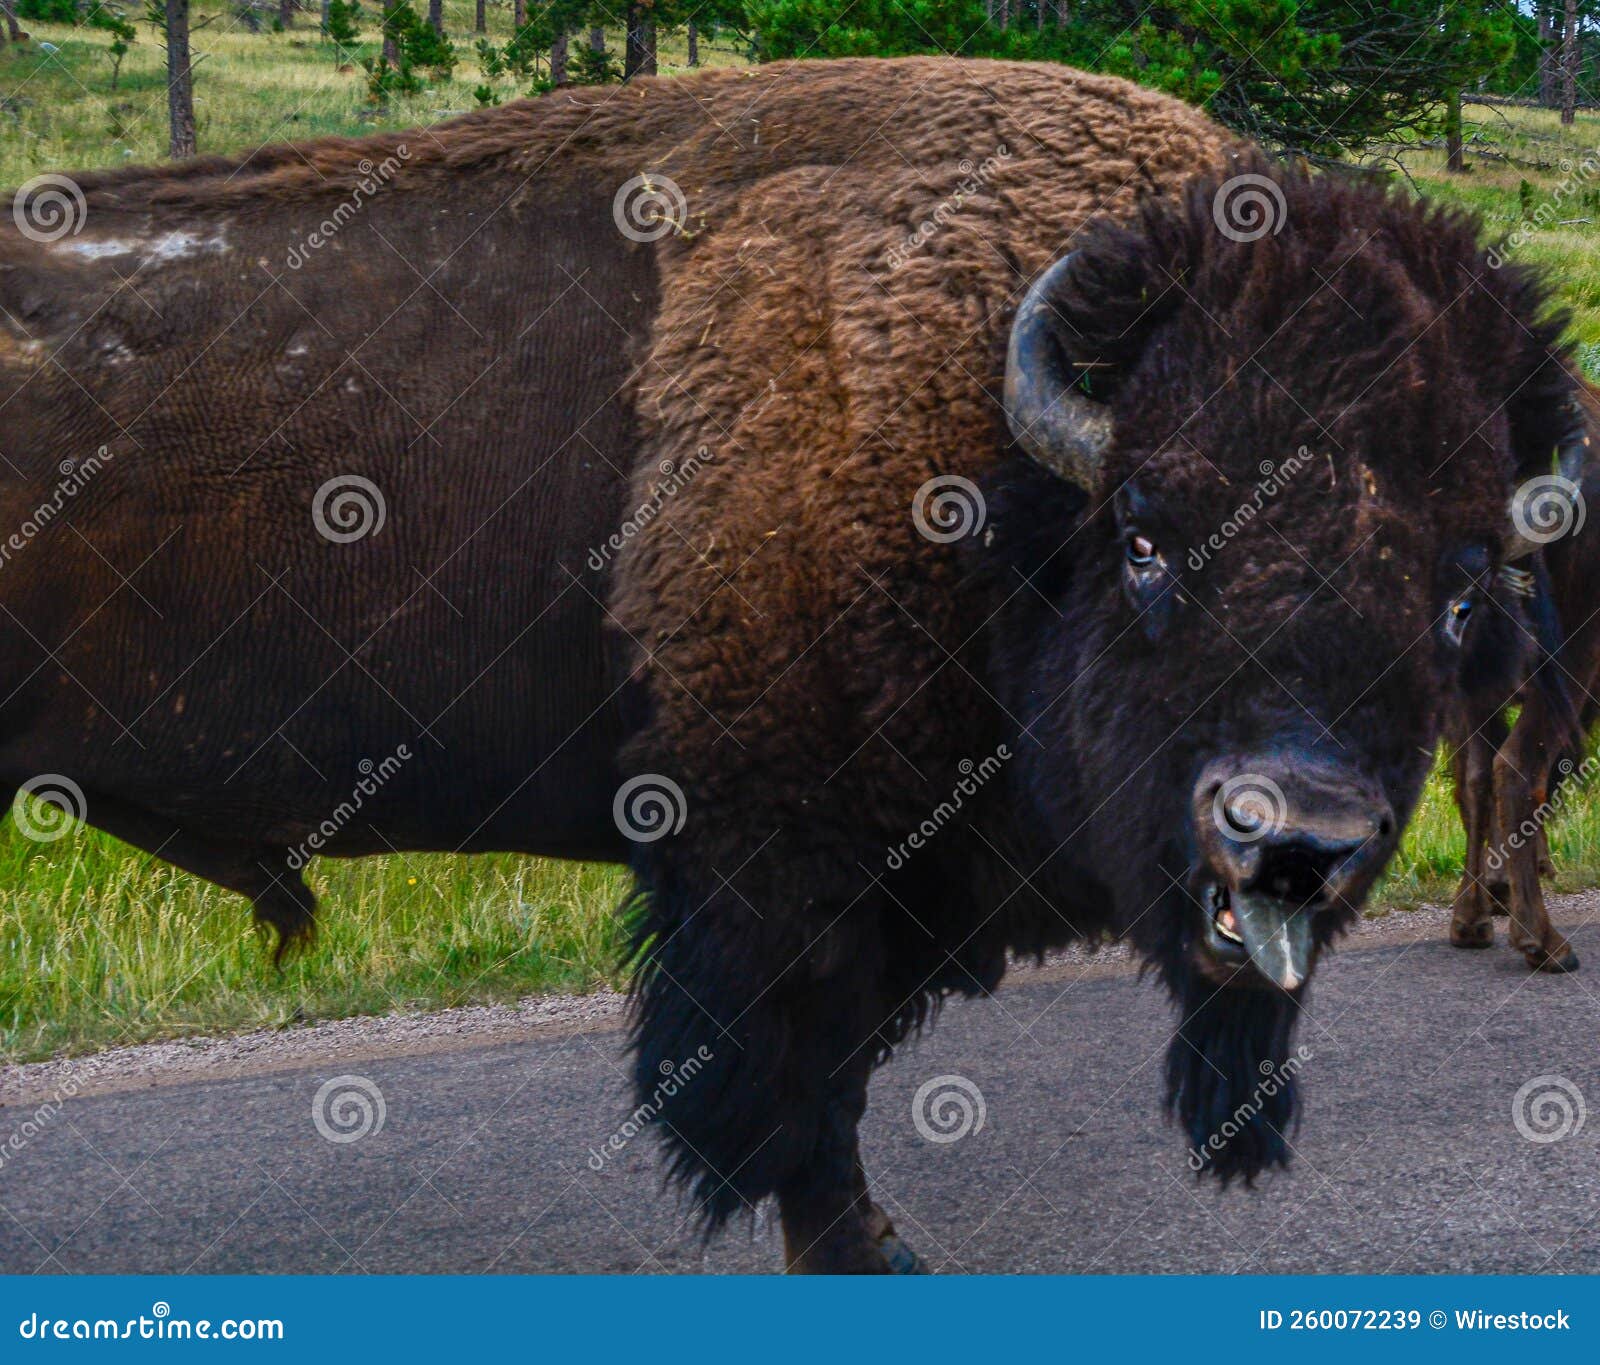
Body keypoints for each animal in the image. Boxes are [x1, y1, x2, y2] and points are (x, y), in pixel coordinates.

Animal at [0, 57, 1581, 1273]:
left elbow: (838, 1074)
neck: (995, 471)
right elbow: (793, 1087)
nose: (1290, 838)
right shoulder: (773, 861)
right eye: (1144, 534)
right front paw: (861, 1250)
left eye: (1459, 594)